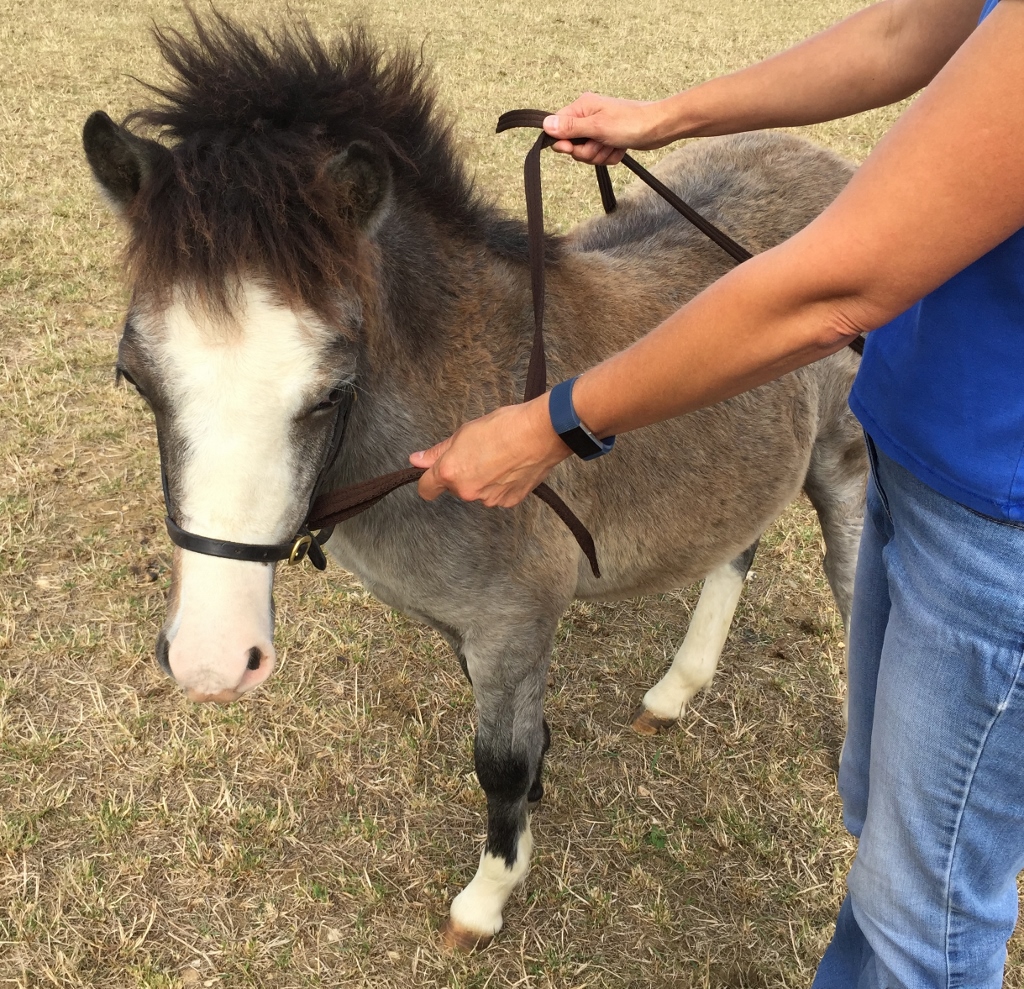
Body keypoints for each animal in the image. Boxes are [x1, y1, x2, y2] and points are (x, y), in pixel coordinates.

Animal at [82, 13, 865, 949]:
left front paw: (488, 895)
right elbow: (520, 739)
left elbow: (499, 761)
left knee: (853, 575)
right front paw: (534, 809)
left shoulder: (512, 621)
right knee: (736, 544)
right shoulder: (474, 628)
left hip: (844, 456)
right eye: (135, 378)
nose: (211, 661)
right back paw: (677, 689)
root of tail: (829, 164)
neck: (452, 408)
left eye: (332, 390)